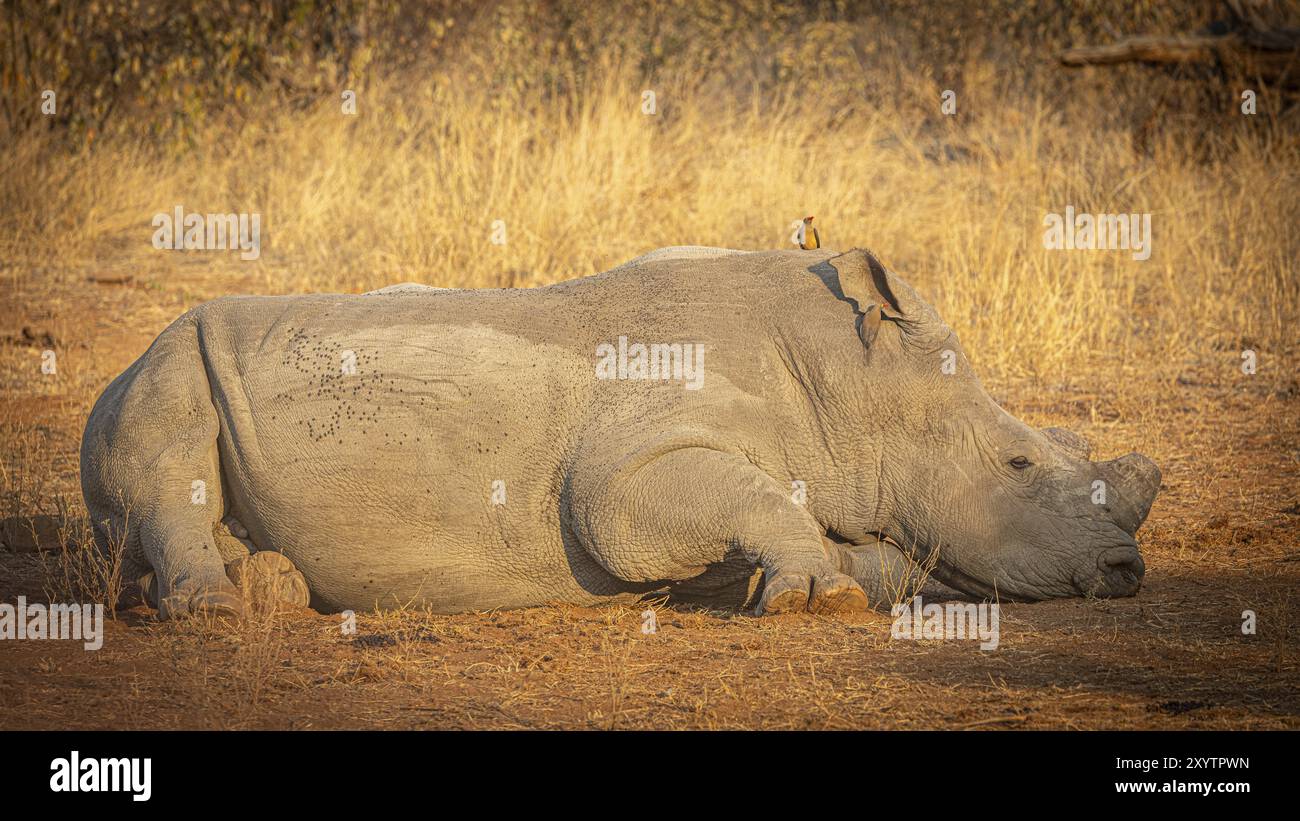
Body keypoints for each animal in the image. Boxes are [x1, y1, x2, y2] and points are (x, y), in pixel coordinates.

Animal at [80, 247, 1160, 619]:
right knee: (164, 447)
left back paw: (272, 587)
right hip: (164, 356)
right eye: (1019, 462)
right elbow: (681, 503)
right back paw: (213, 611)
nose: (1125, 571)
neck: (844, 383)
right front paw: (815, 599)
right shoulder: (626, 470)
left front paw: (832, 578)